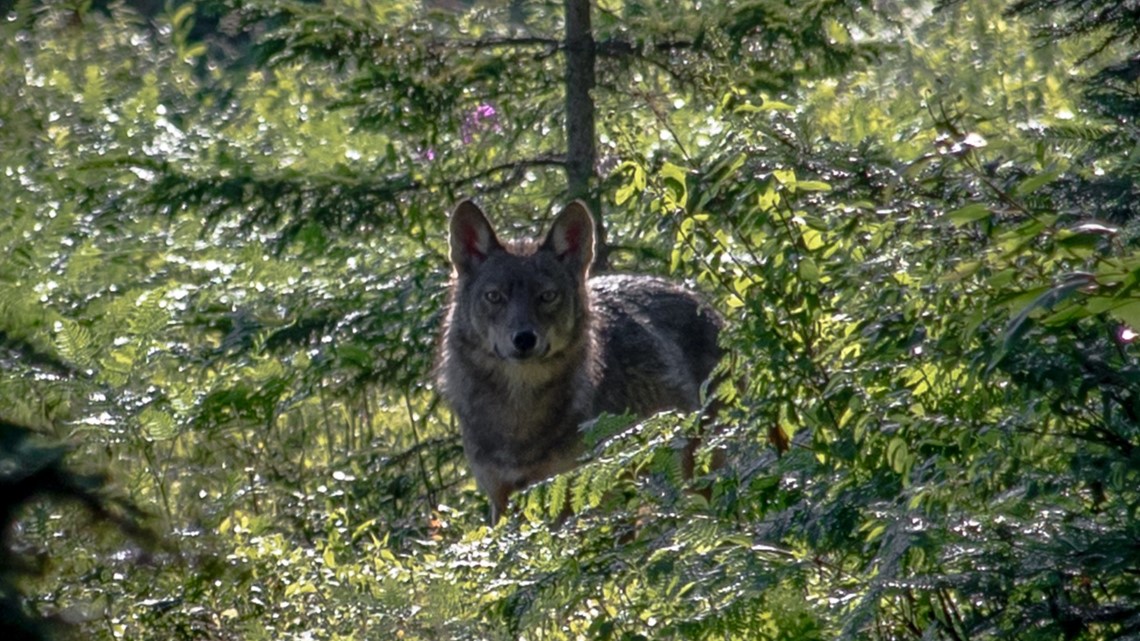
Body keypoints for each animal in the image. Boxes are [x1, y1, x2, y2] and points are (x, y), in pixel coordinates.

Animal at [437, 199, 724, 522]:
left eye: (547, 296)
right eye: (494, 296)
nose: (524, 339)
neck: (519, 416)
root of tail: (701, 300)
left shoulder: (569, 490)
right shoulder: (500, 498)